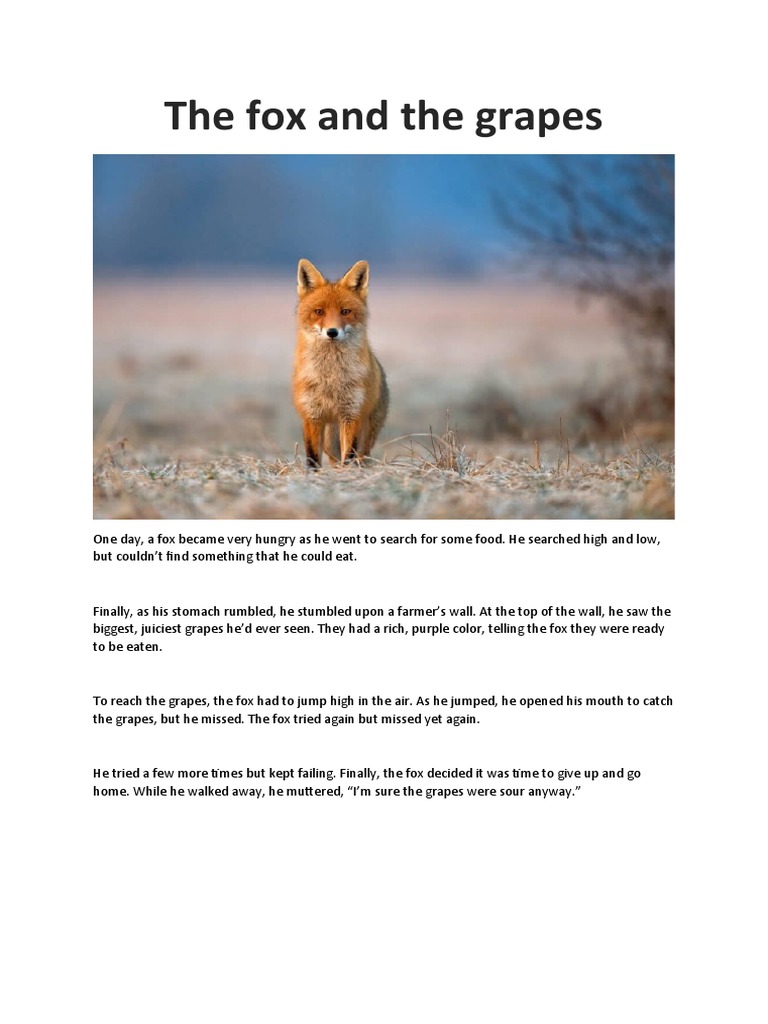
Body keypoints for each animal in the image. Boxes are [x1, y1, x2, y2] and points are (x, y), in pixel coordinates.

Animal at [292, 258, 389, 469]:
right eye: (319, 311)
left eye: (345, 311)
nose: (332, 332)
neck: (330, 378)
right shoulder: (311, 416)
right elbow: (312, 457)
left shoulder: (351, 415)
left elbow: (349, 454)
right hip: (330, 441)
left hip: (365, 435)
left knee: (361, 456)